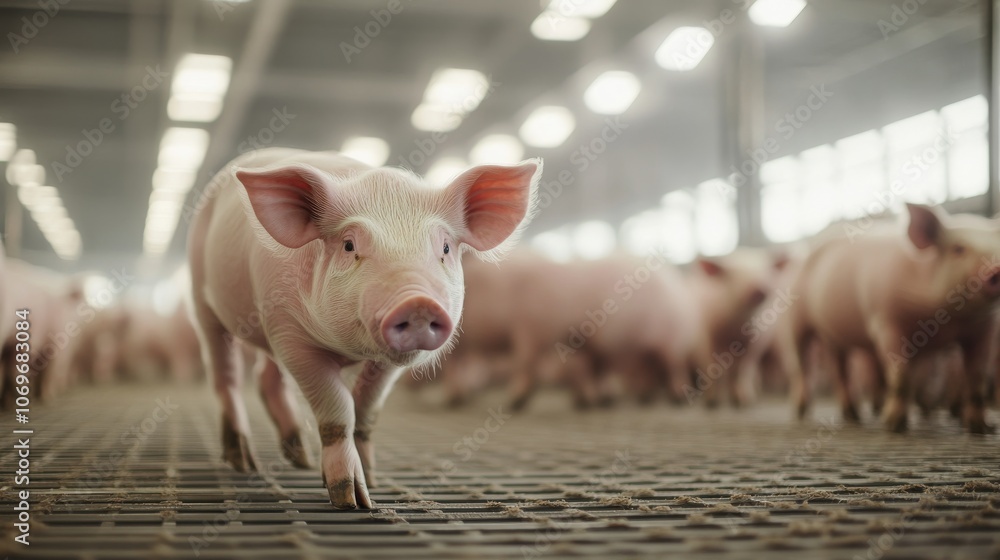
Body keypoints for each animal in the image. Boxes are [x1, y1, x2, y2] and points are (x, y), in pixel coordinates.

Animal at [187, 147, 540, 508]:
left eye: (444, 248)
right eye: (349, 246)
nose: (417, 302)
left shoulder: (384, 363)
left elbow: (367, 410)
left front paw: (372, 484)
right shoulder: (290, 334)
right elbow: (339, 411)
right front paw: (351, 500)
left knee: (265, 377)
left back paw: (300, 460)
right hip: (202, 298)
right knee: (225, 374)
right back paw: (243, 463)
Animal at [781, 204, 1000, 433]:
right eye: (958, 249)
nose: (996, 269)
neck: (948, 319)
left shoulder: (985, 329)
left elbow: (976, 377)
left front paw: (982, 428)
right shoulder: (886, 322)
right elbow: (900, 376)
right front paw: (894, 427)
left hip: (833, 335)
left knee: (839, 371)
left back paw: (853, 416)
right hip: (794, 317)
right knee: (801, 364)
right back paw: (802, 413)